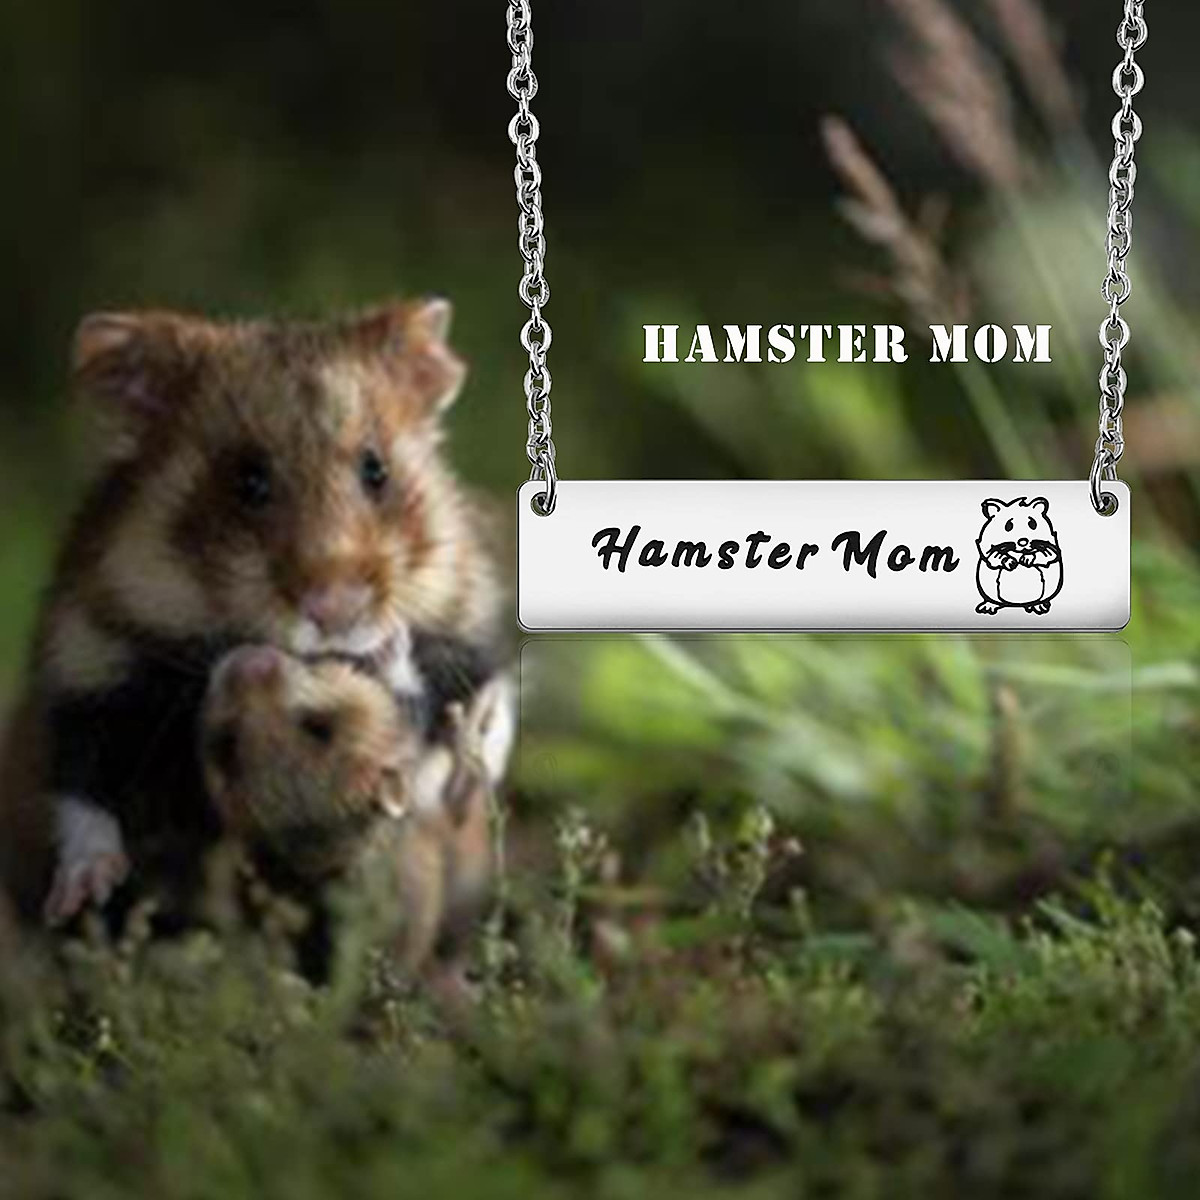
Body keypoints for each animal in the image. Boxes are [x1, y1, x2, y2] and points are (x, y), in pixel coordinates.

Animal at [0, 300, 504, 926]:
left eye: (376, 470)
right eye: (248, 481)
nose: (337, 610)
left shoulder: (468, 627)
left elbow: (487, 701)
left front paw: (457, 791)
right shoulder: (91, 658)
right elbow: (84, 784)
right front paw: (83, 893)